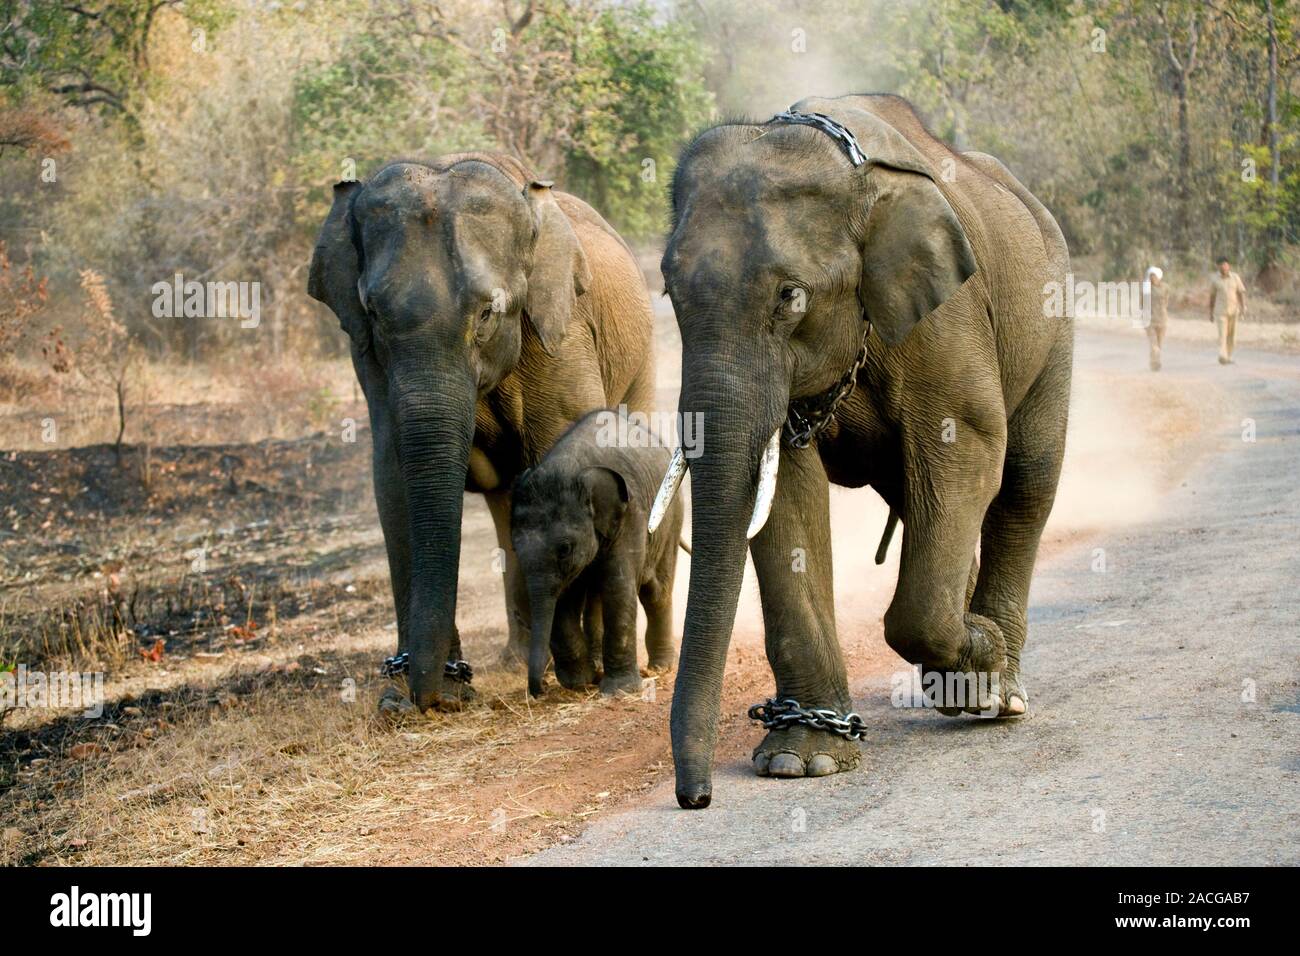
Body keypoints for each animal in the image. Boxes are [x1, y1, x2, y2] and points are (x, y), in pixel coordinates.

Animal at [307, 153, 656, 712]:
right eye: (374, 314)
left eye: (488, 312)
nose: (419, 697)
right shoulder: (368, 361)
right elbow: (395, 479)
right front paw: (433, 692)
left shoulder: (560, 331)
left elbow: (567, 448)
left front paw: (585, 673)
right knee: (504, 501)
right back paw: (515, 659)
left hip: (639, 358)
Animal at [510, 409, 684, 698]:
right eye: (514, 548)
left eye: (565, 549)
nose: (540, 689)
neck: (568, 468)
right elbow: (564, 598)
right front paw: (579, 682)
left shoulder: (630, 515)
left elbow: (617, 586)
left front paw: (619, 691)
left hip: (671, 518)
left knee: (656, 593)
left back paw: (661, 667)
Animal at [653, 93, 1072, 808]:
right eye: (669, 292)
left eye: (790, 297)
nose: (696, 799)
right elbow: (783, 495)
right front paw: (802, 760)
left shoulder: (948, 314)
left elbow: (968, 447)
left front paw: (979, 655)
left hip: (1054, 320)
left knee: (1024, 484)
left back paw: (995, 693)